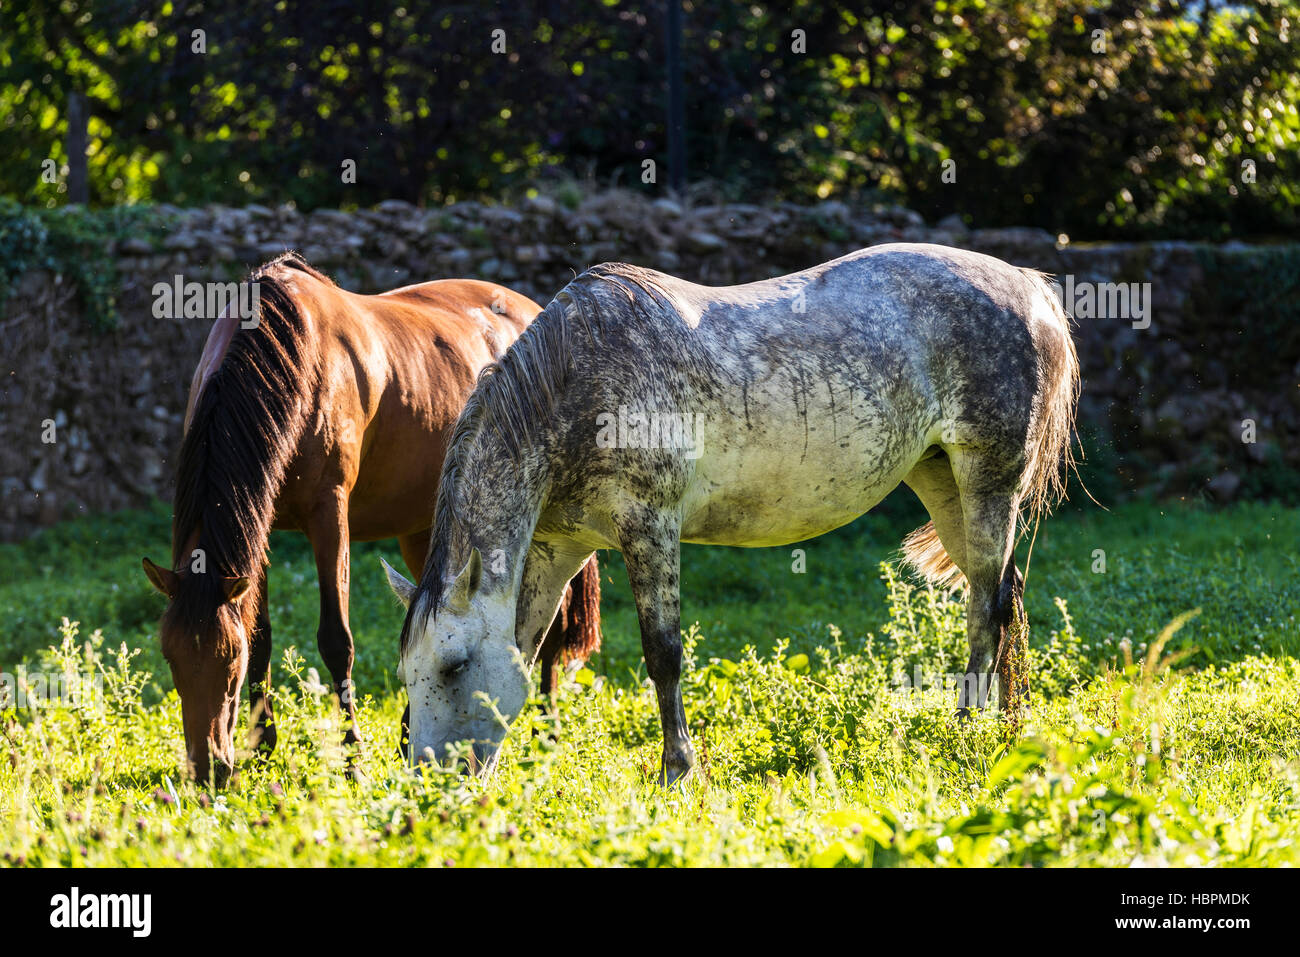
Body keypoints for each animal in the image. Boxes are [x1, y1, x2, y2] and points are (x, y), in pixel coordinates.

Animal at [141, 253, 601, 785]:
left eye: (228, 661)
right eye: (170, 657)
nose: (207, 769)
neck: (290, 354)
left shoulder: (330, 516)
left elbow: (336, 640)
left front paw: (352, 762)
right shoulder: (264, 527)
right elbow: (263, 635)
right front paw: (263, 746)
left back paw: (544, 731)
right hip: (426, 531)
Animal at [383, 243, 1078, 784]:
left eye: (452, 665)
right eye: (406, 671)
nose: (429, 784)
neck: (575, 382)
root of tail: (1031, 287)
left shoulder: (650, 527)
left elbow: (663, 654)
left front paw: (678, 770)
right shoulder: (556, 548)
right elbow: (525, 657)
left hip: (988, 481)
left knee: (987, 605)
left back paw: (965, 731)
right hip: (942, 479)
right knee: (1006, 592)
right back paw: (1009, 725)